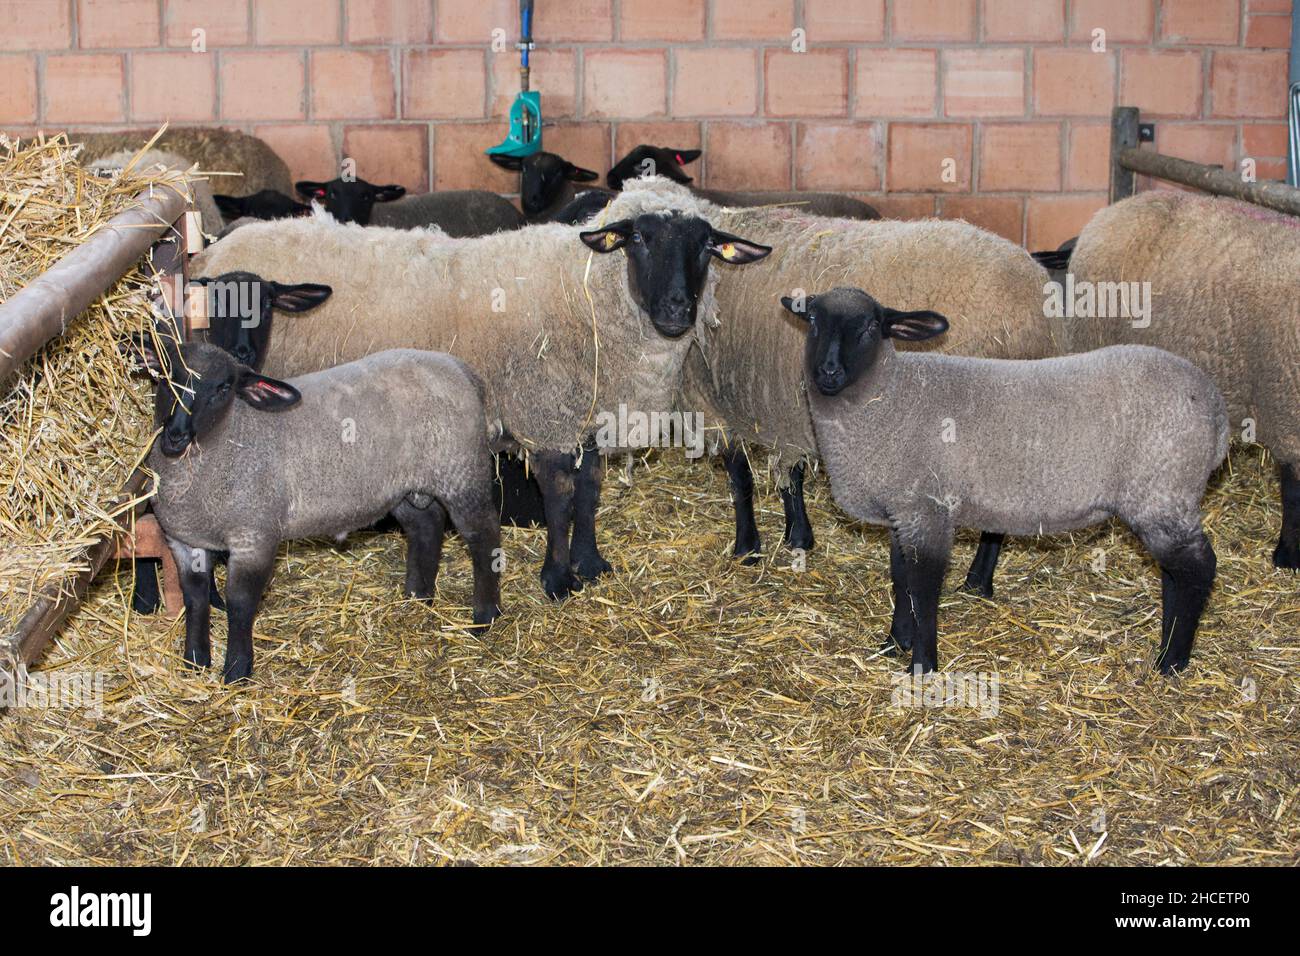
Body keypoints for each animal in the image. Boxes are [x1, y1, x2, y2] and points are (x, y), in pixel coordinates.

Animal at [134, 336, 502, 683]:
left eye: (223, 388)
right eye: (166, 374)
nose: (176, 435)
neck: (233, 431)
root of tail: (460, 368)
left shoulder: (255, 535)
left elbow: (240, 602)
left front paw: (236, 670)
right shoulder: (183, 540)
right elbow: (194, 598)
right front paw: (194, 661)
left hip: (461, 472)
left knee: (484, 535)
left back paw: (485, 616)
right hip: (402, 486)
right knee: (426, 524)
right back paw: (417, 597)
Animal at [192, 189, 773, 599]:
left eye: (705, 246)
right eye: (639, 239)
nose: (678, 310)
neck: (582, 291)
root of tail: (228, 242)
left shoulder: (581, 414)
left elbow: (589, 490)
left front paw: (590, 564)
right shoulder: (542, 412)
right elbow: (559, 496)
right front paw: (558, 579)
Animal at [601, 177, 1057, 591]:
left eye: (701, 245)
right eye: (636, 239)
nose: (675, 312)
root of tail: (1034, 291)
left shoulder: (717, 400)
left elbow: (740, 476)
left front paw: (748, 546)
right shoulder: (784, 400)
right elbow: (792, 472)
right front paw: (798, 536)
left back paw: (978, 581)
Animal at [788, 286, 1227, 675]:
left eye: (870, 327)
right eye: (813, 321)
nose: (828, 371)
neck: (891, 395)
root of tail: (1213, 402)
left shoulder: (928, 510)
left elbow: (923, 588)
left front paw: (923, 665)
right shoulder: (903, 509)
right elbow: (901, 580)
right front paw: (896, 642)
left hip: (1162, 490)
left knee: (1198, 568)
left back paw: (1172, 663)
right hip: (1164, 497)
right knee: (1174, 573)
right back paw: (1167, 650)